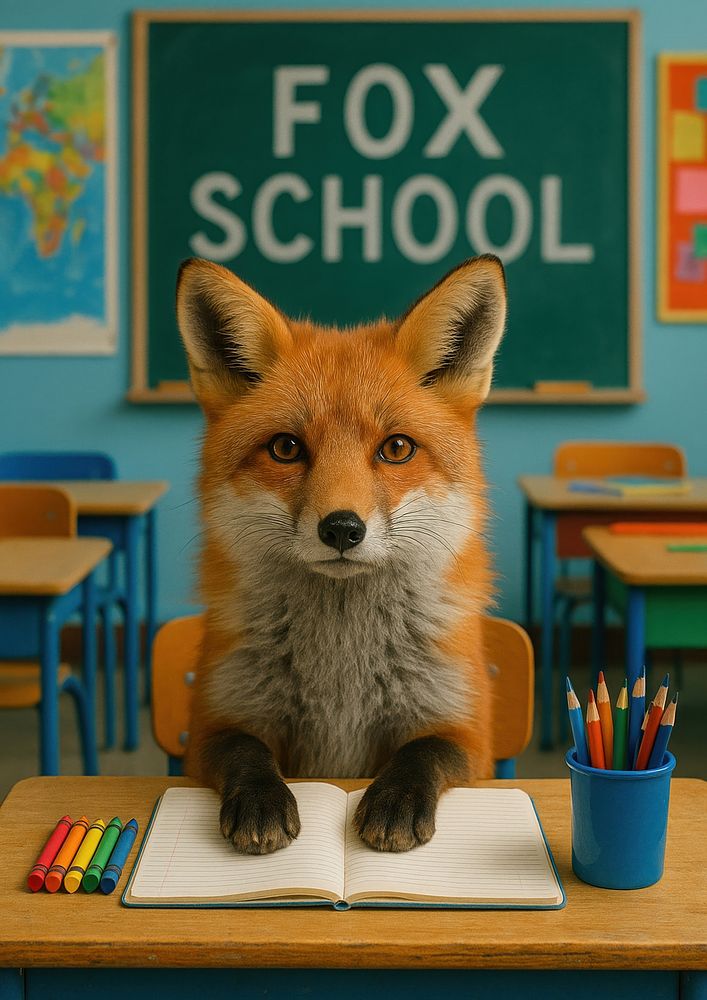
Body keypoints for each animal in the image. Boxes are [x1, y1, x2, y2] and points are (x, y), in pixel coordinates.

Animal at [176, 253, 507, 855]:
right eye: (286, 448)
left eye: (396, 448)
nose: (342, 529)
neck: (341, 672)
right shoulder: (213, 724)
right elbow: (245, 751)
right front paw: (262, 800)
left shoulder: (466, 732)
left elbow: (422, 753)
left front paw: (395, 800)